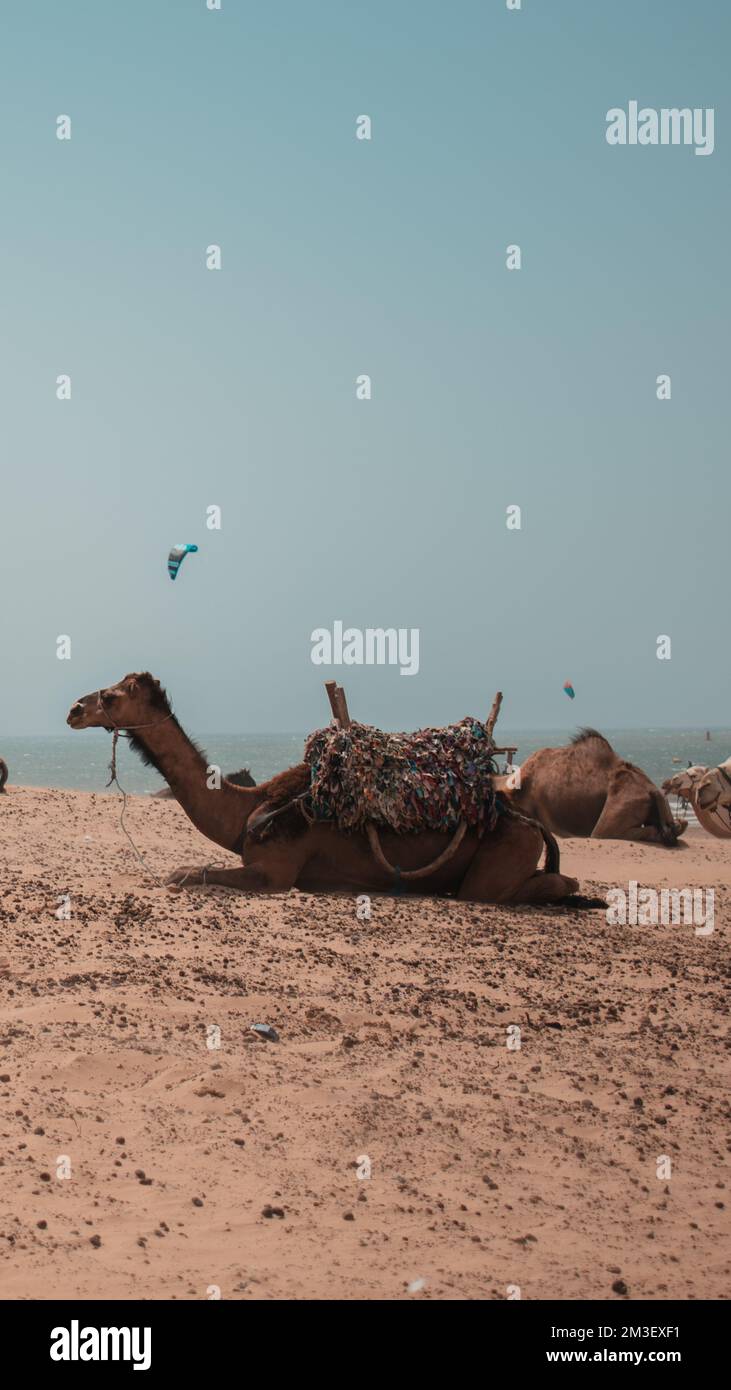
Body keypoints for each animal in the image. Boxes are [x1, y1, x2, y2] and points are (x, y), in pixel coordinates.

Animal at [66, 672, 600, 907]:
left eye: (110, 695)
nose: (74, 708)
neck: (250, 807)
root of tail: (529, 822)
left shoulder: (276, 871)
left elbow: (187, 872)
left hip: (499, 860)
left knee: (538, 885)